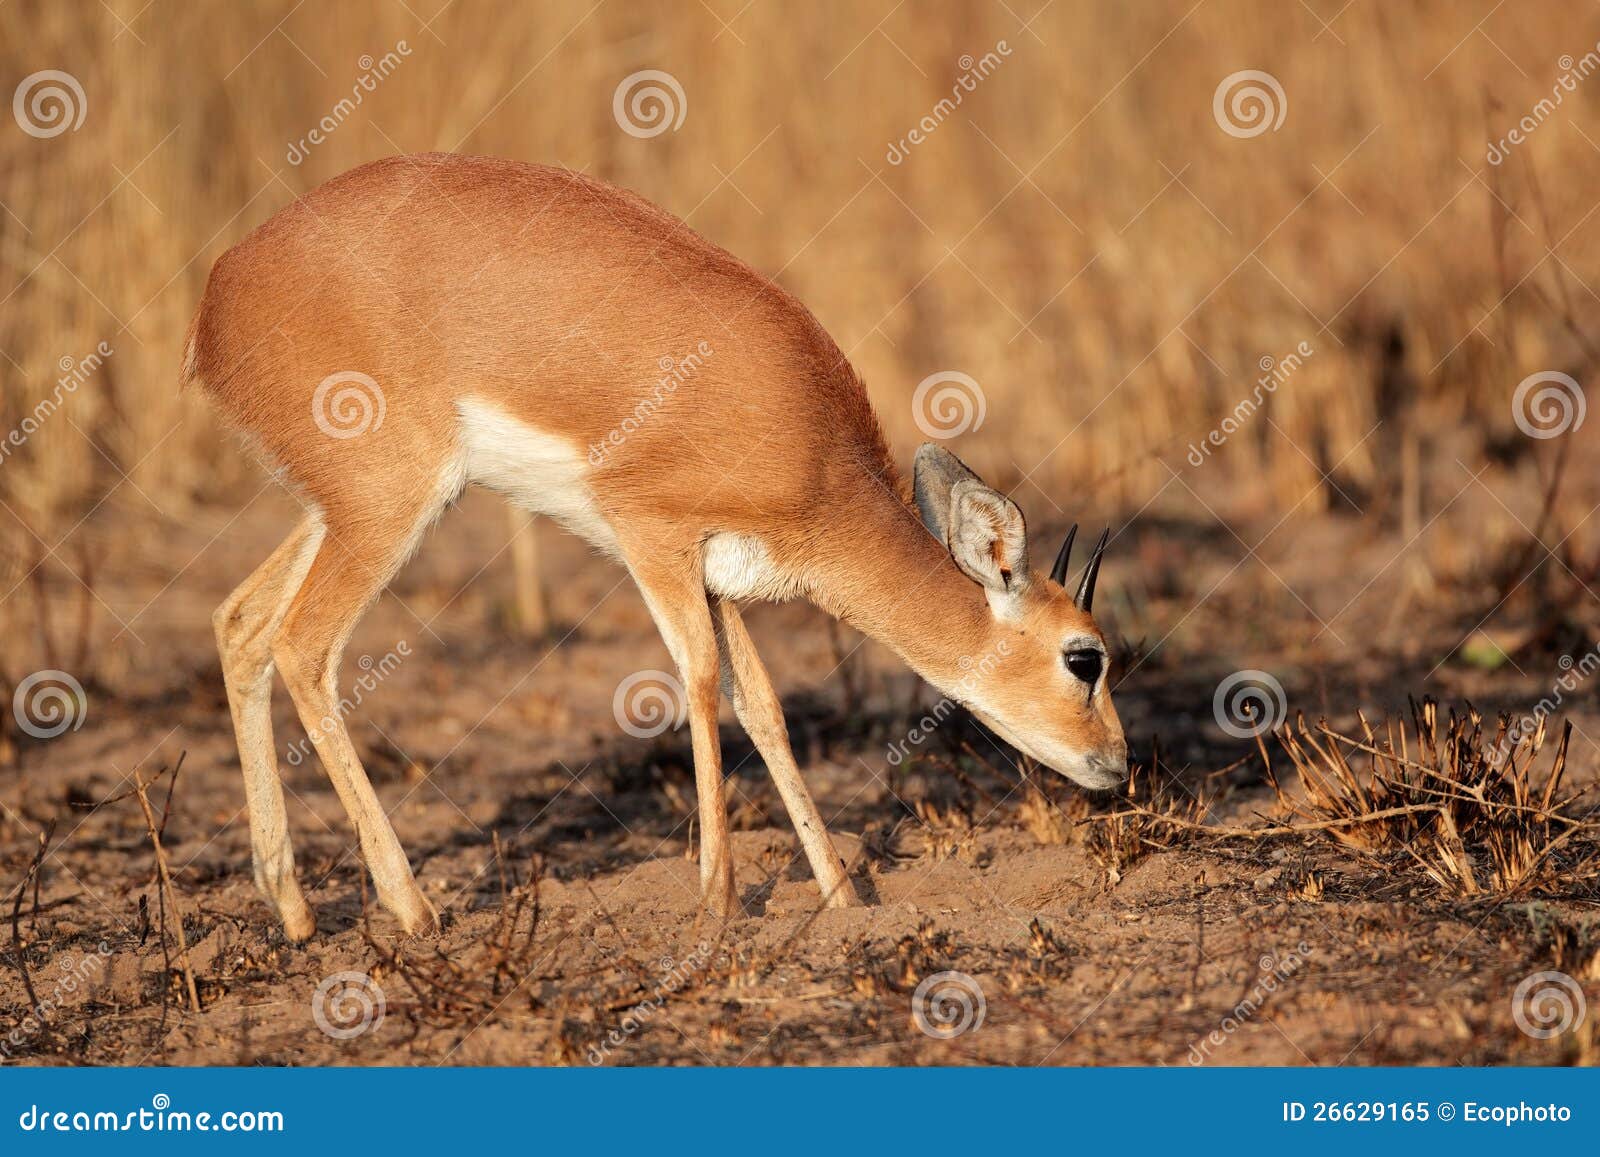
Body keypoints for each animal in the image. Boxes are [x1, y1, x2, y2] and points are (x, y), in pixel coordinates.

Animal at [187, 153, 1128, 941]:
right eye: (1084, 657)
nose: (1116, 764)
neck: (810, 445)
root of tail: (221, 290)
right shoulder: (653, 537)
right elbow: (702, 682)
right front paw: (717, 897)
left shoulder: (717, 573)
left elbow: (765, 707)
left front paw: (839, 893)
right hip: (388, 508)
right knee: (303, 646)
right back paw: (412, 908)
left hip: (348, 509)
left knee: (240, 622)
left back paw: (294, 910)